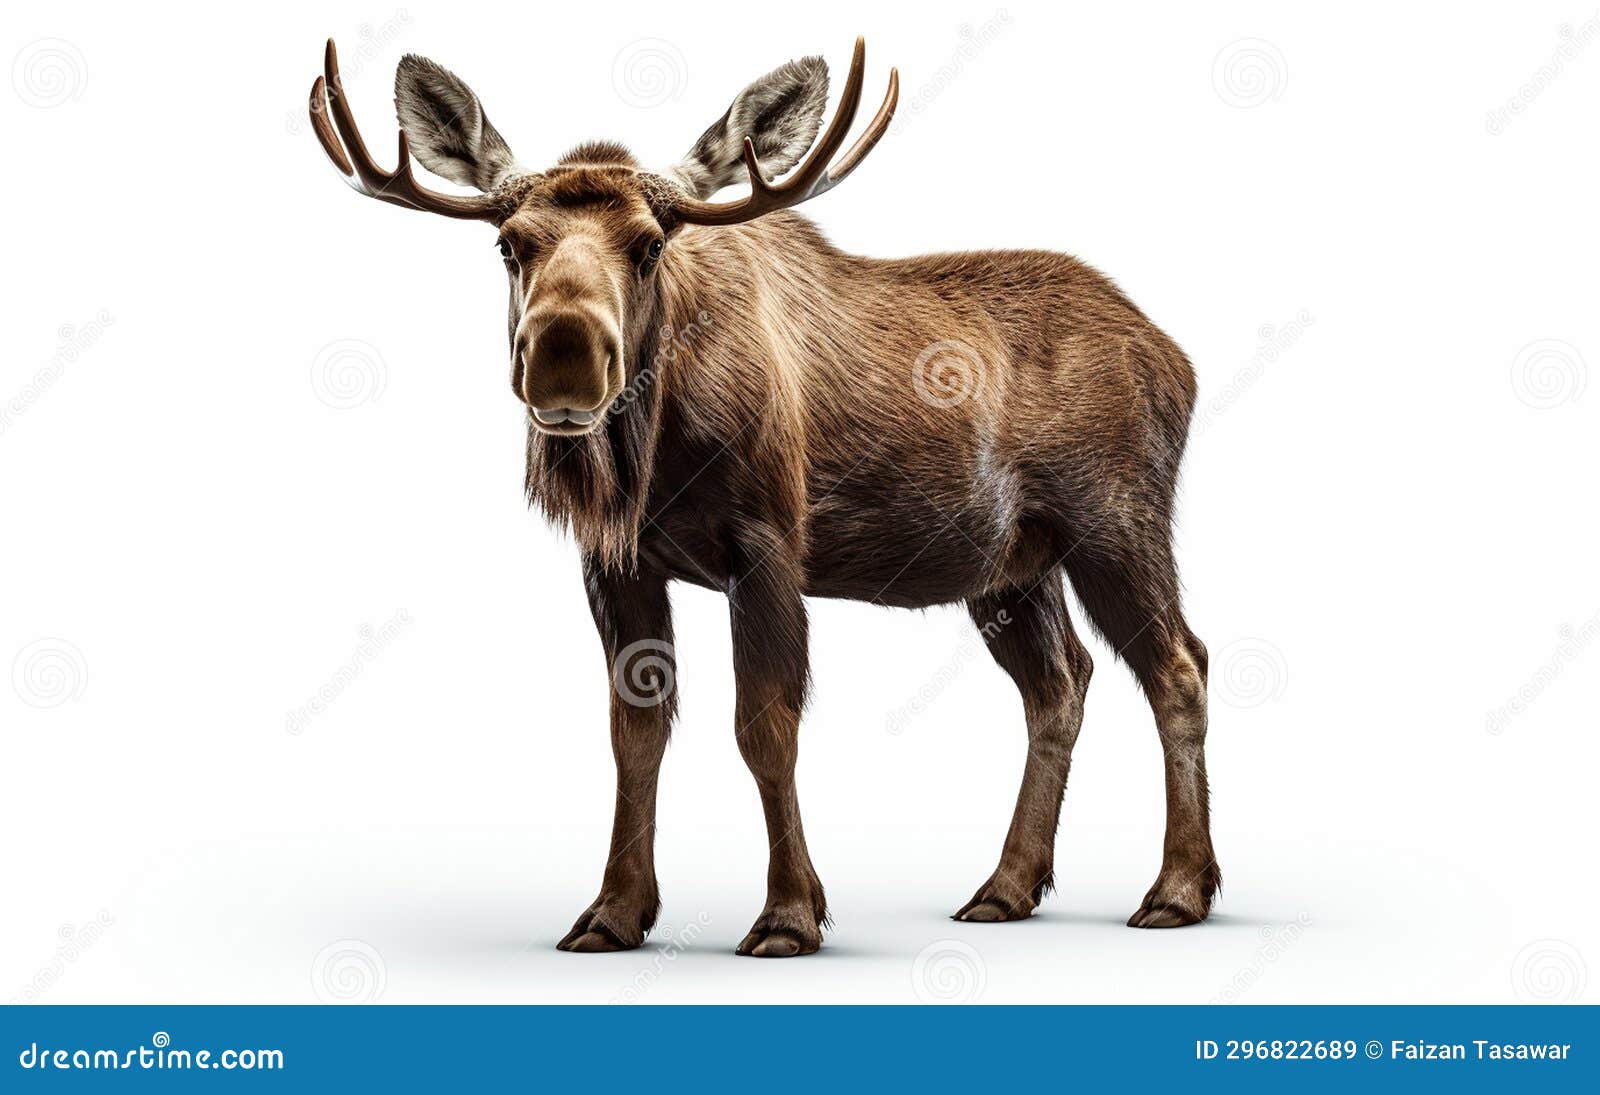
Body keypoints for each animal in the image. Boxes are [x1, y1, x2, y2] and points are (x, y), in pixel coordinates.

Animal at [308, 37, 1219, 957]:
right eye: (510, 244)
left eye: (649, 244)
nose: (564, 354)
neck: (657, 457)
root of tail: (1178, 359)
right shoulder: (618, 562)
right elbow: (634, 731)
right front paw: (612, 912)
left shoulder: (768, 541)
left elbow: (765, 724)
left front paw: (788, 913)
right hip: (1012, 564)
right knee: (1059, 682)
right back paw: (1006, 886)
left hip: (1115, 520)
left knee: (1179, 664)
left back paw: (1177, 889)